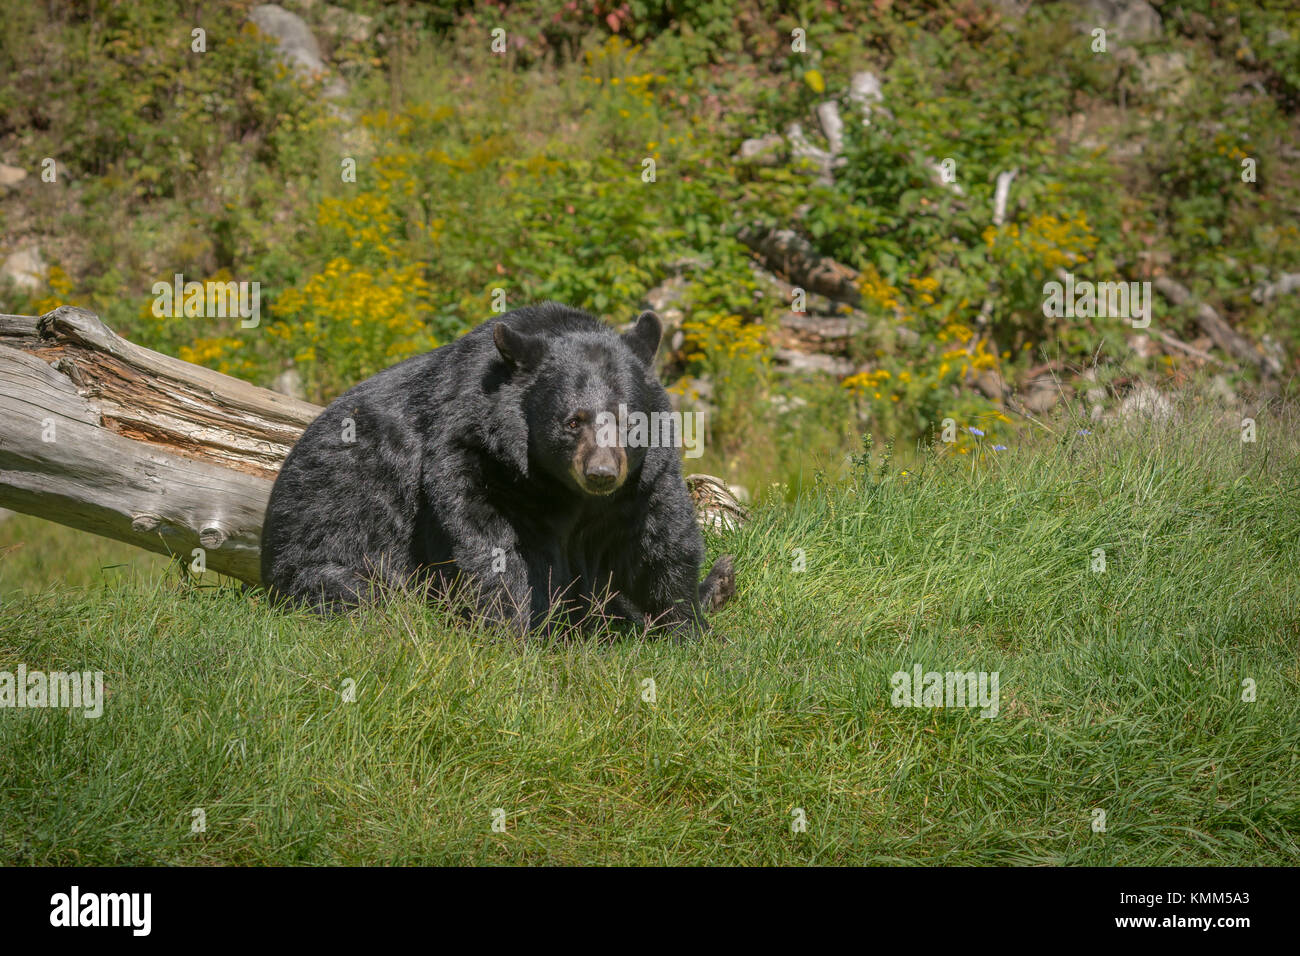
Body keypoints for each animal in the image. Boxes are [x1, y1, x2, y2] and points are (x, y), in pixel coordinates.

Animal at [260, 302, 734, 636]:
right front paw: (519, 628)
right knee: (354, 587)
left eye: (629, 421)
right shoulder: (481, 460)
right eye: (573, 421)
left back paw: (718, 584)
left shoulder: (641, 481)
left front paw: (688, 627)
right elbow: (496, 546)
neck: (567, 490)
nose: (600, 473)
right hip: (326, 538)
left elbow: (658, 541)